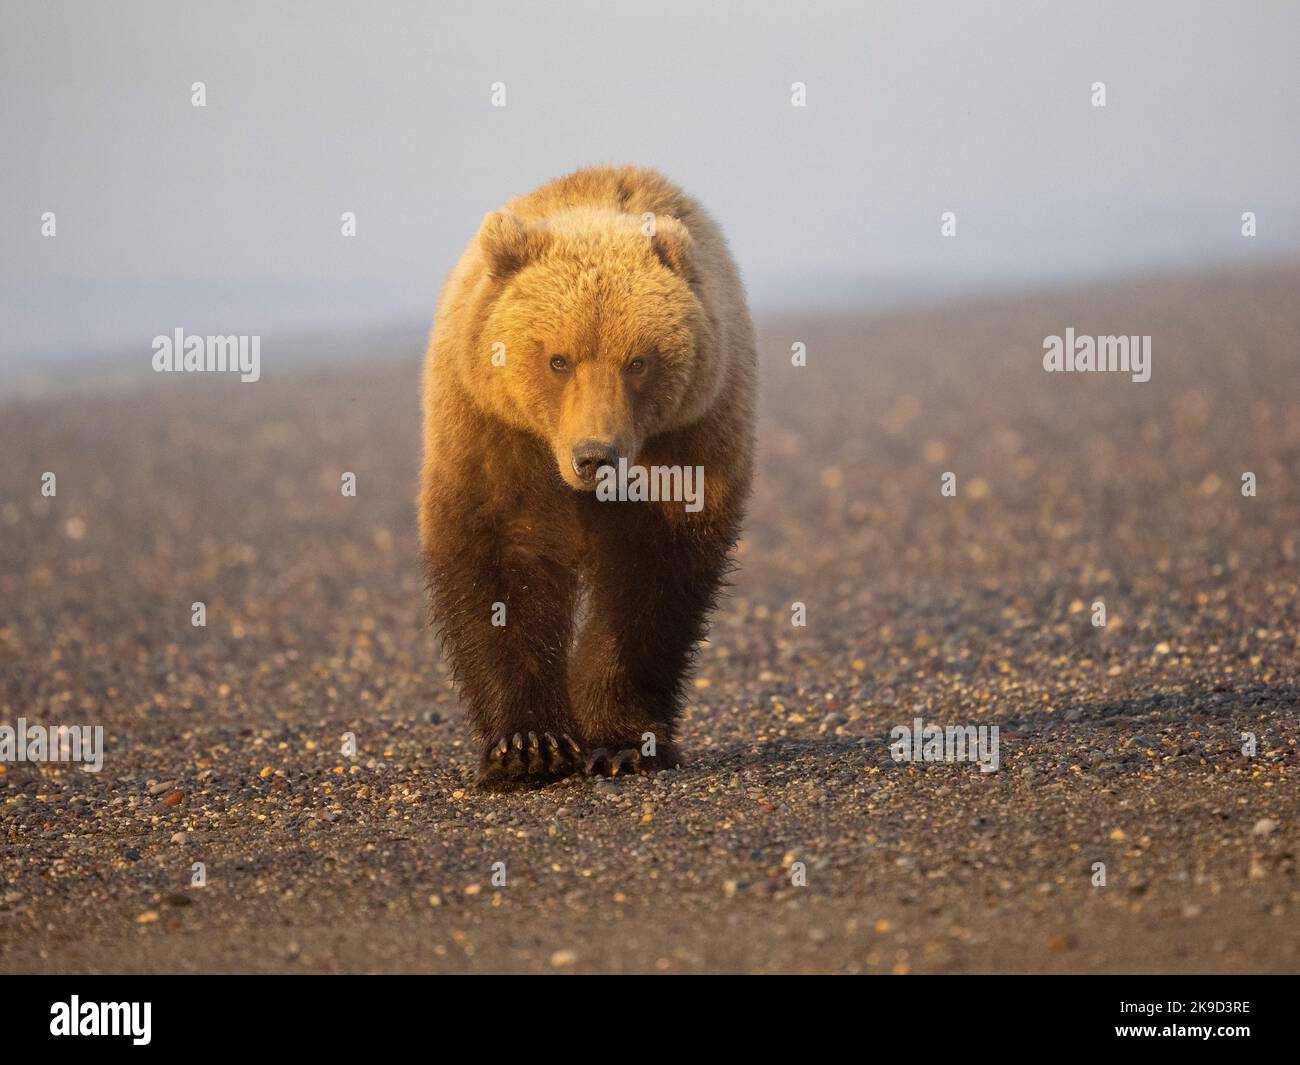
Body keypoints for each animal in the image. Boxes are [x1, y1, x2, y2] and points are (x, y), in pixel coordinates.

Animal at [419, 164, 756, 789]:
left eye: (638, 361)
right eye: (558, 359)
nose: (594, 455)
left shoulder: (686, 444)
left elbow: (652, 584)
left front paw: (622, 744)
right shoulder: (494, 435)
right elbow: (498, 563)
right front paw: (528, 745)